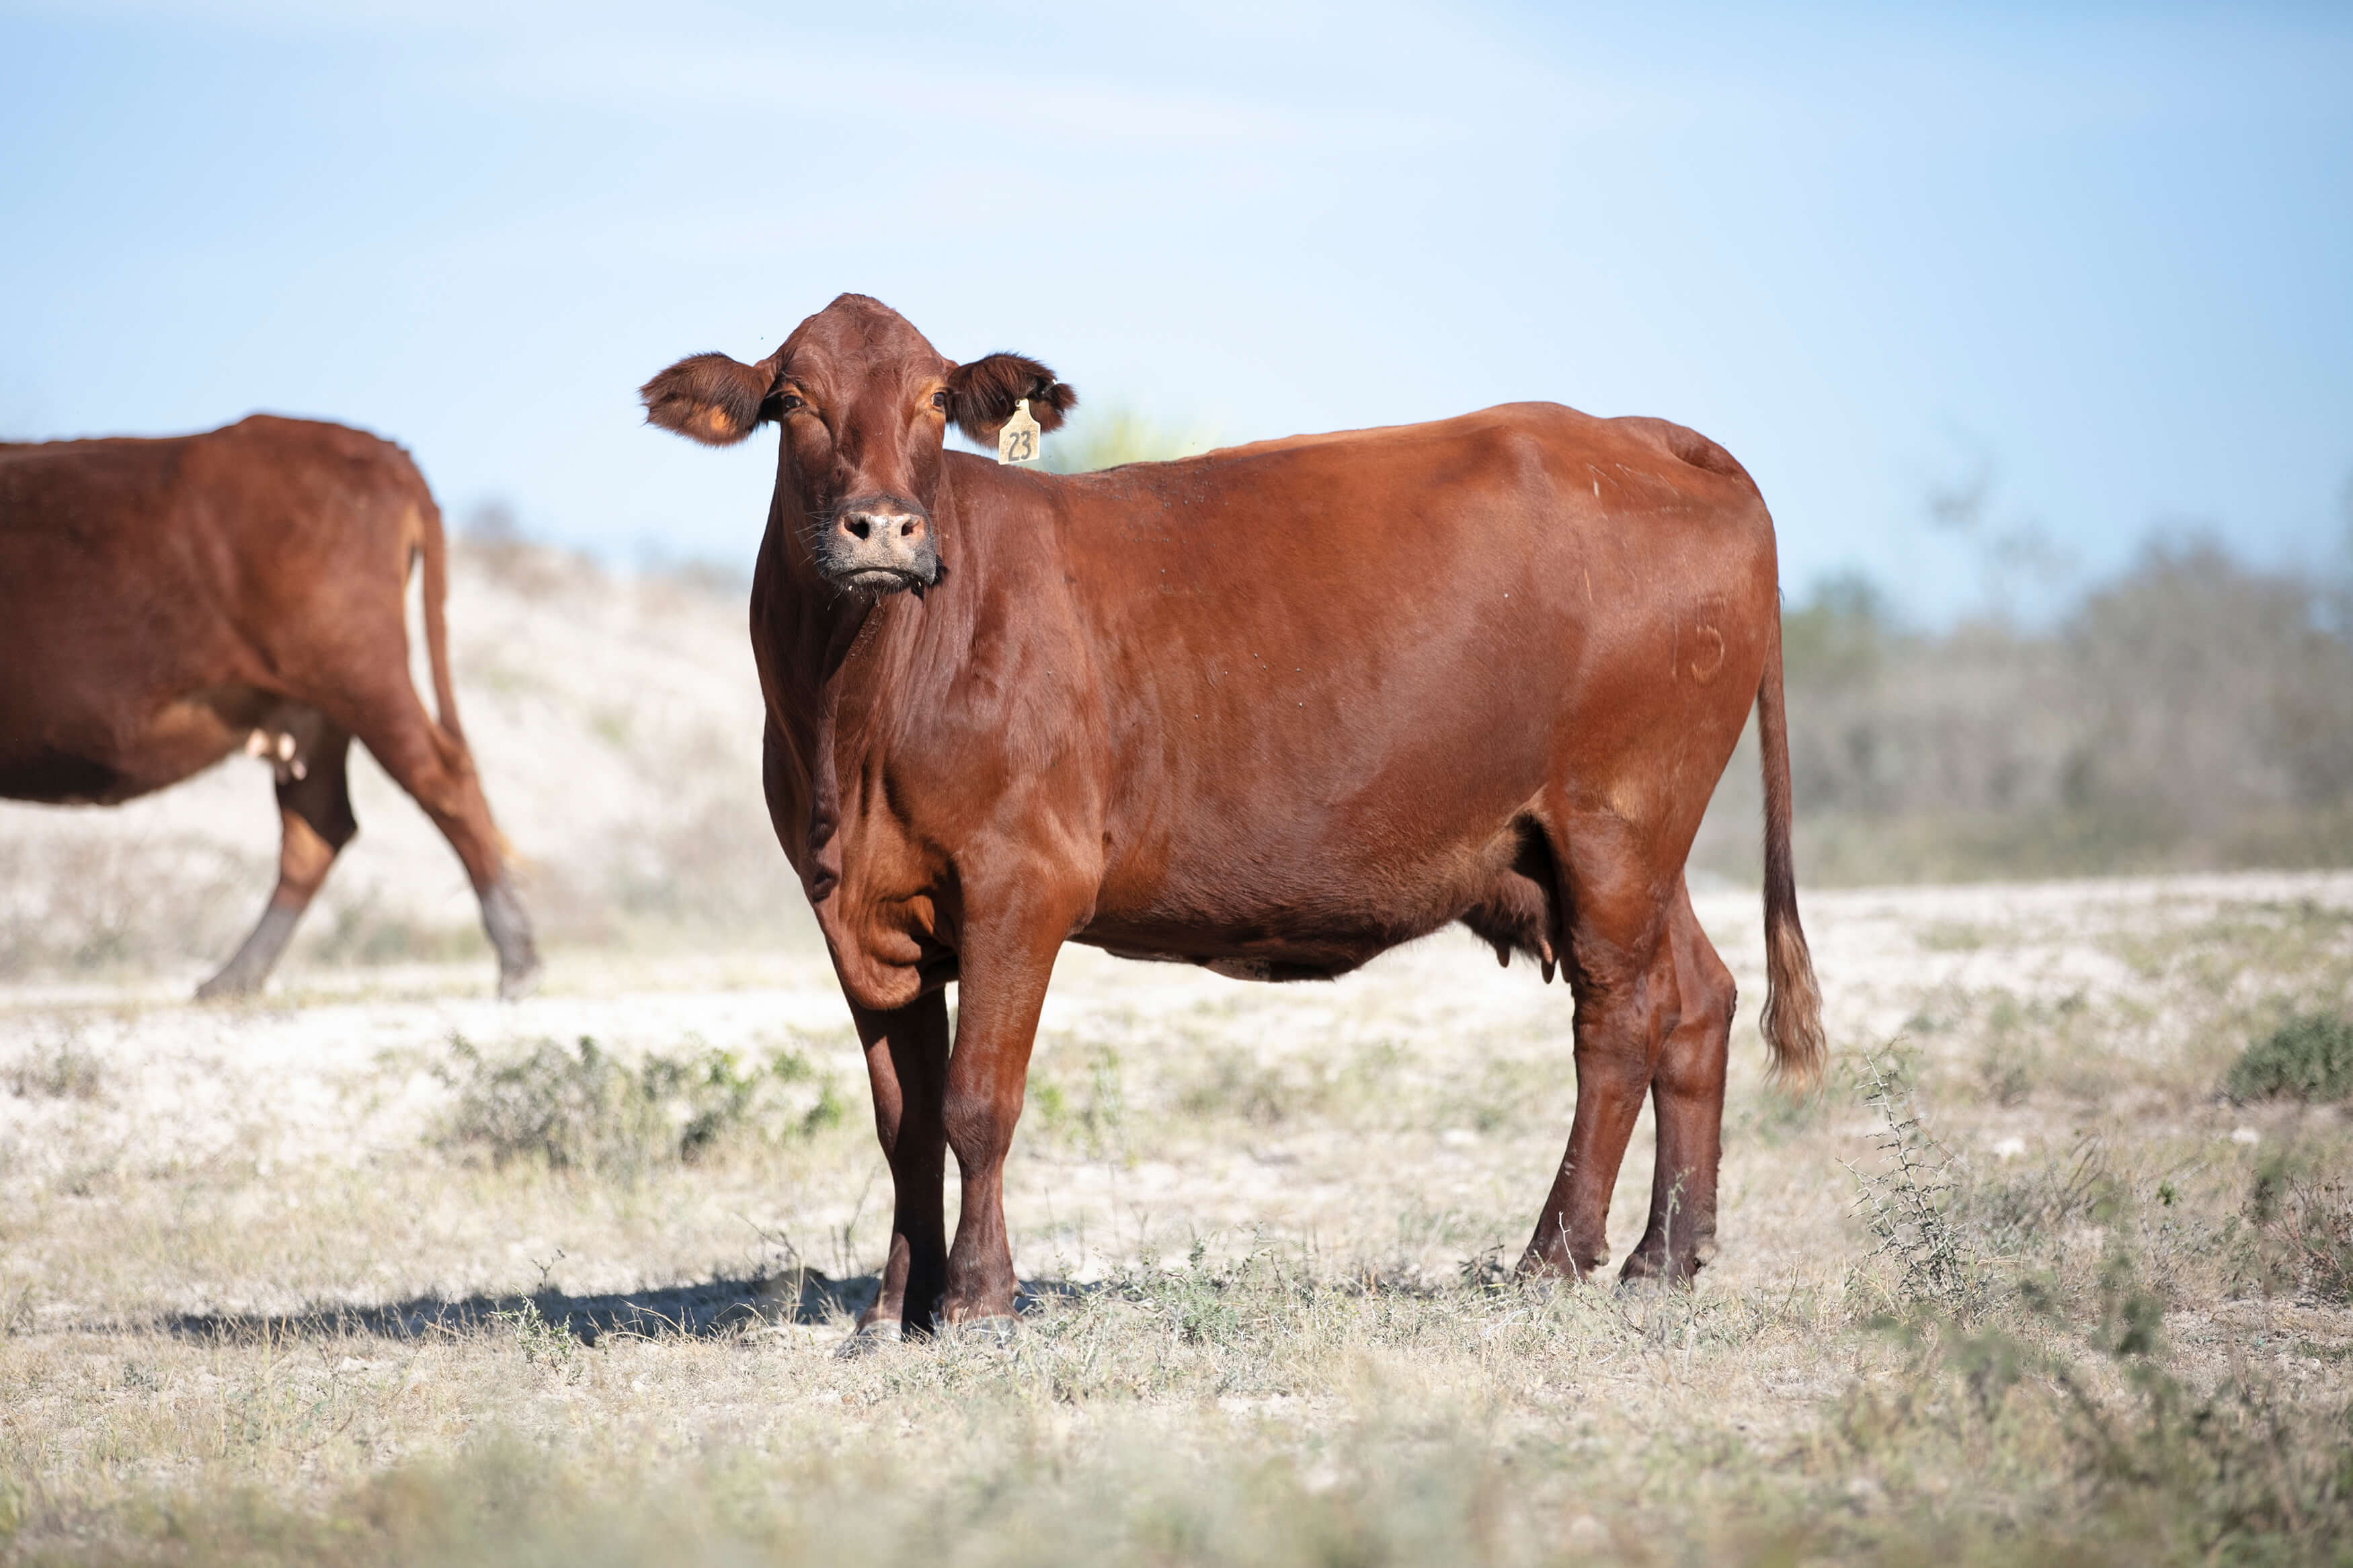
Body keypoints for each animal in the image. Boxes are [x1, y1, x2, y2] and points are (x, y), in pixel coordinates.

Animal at [0, 416, 541, 1001]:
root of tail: (377, 447)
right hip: (312, 713)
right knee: (319, 828)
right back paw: (234, 977)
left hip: (360, 678)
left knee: (442, 780)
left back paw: (518, 958)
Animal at [639, 293, 1825, 1343]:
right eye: (795, 399)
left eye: (936, 397)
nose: (885, 527)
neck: (859, 719)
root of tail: (1639, 436)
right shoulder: (860, 914)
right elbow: (904, 1122)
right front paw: (893, 1312)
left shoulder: (1022, 884)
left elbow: (978, 1103)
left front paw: (978, 1302)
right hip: (1620, 850)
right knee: (1698, 999)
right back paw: (1667, 1254)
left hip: (1616, 825)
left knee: (1620, 1021)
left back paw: (1556, 1256)